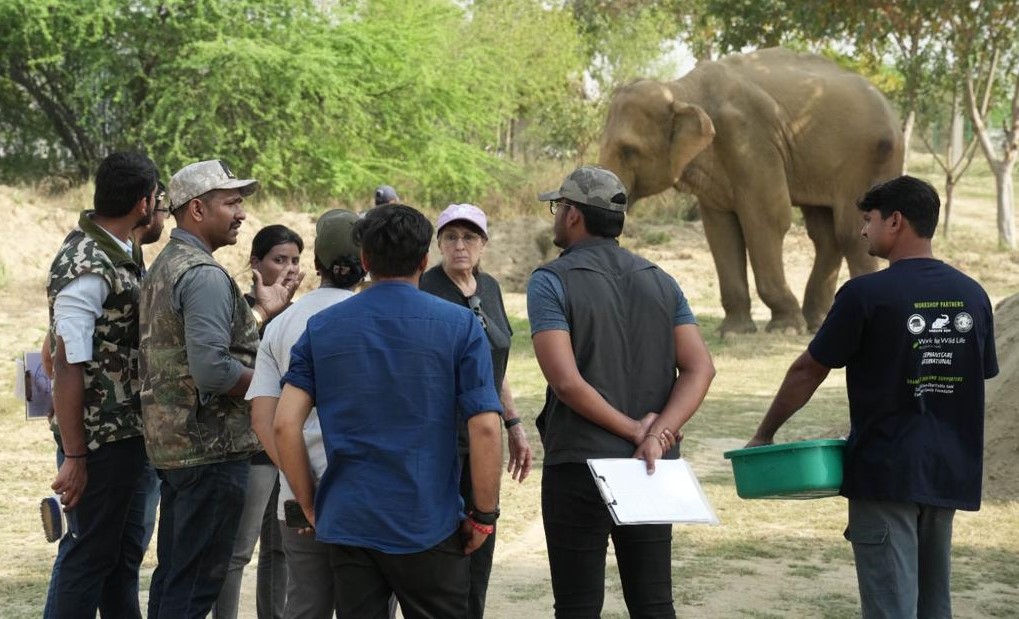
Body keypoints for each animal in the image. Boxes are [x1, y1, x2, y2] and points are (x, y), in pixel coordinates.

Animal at [598, 47, 904, 335]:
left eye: (629, 150)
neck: (682, 90)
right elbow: (720, 229)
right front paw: (733, 332)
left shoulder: (752, 141)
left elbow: (767, 218)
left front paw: (785, 328)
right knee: (825, 235)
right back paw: (816, 323)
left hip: (873, 160)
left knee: (851, 232)